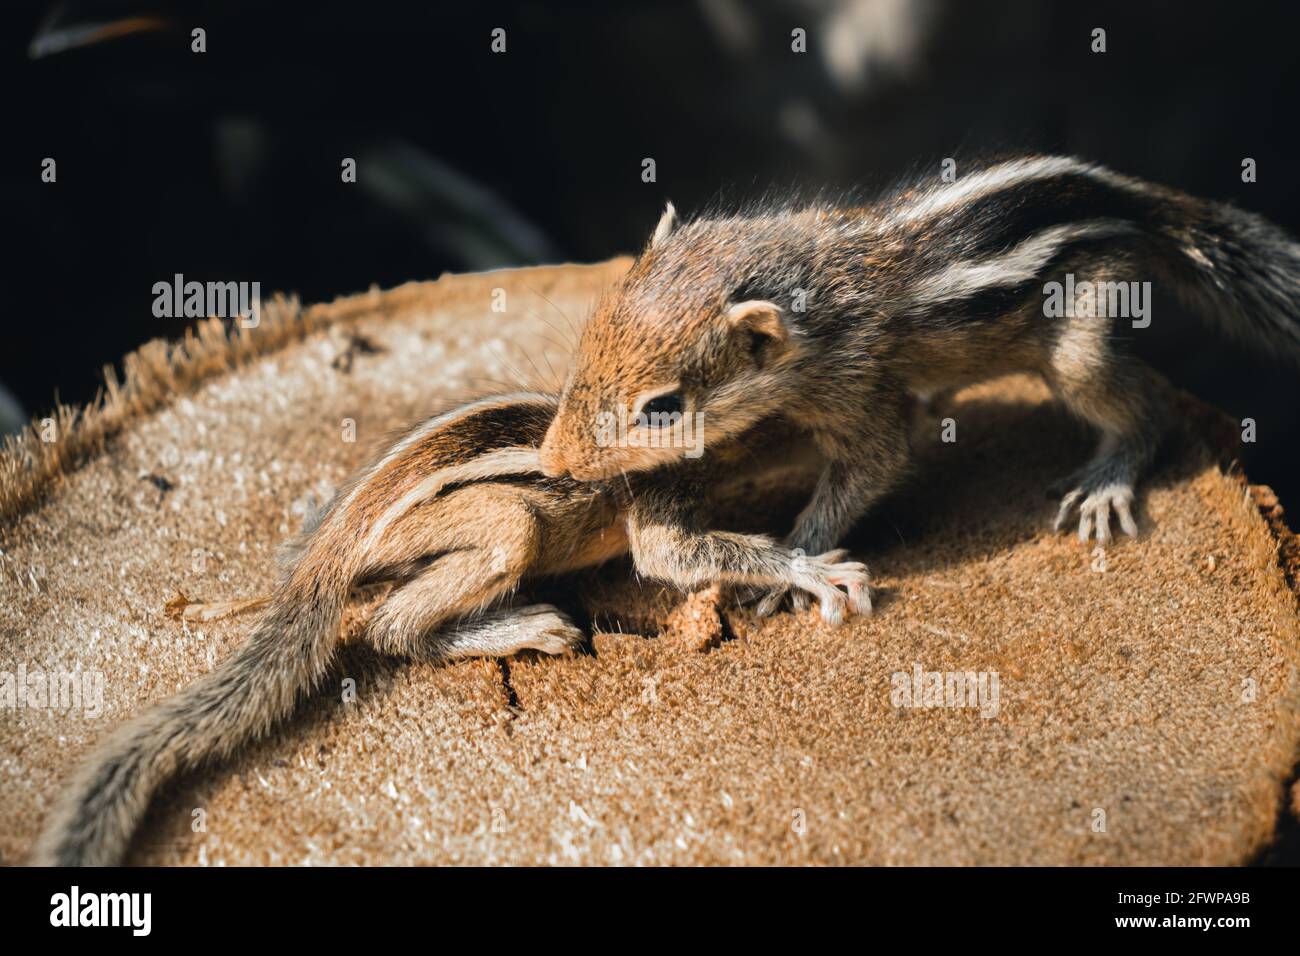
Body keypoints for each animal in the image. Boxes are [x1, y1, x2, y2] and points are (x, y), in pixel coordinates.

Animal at [32, 390, 864, 866]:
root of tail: (327, 556)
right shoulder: (657, 500)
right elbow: (678, 557)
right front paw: (812, 571)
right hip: (504, 526)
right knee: (391, 626)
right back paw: (527, 627)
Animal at [538, 154, 1300, 611]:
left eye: (663, 409)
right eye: (588, 340)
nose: (552, 460)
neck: (809, 290)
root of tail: (1136, 202)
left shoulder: (856, 389)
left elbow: (872, 467)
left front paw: (802, 565)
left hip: (1087, 324)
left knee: (1146, 407)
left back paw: (1108, 482)